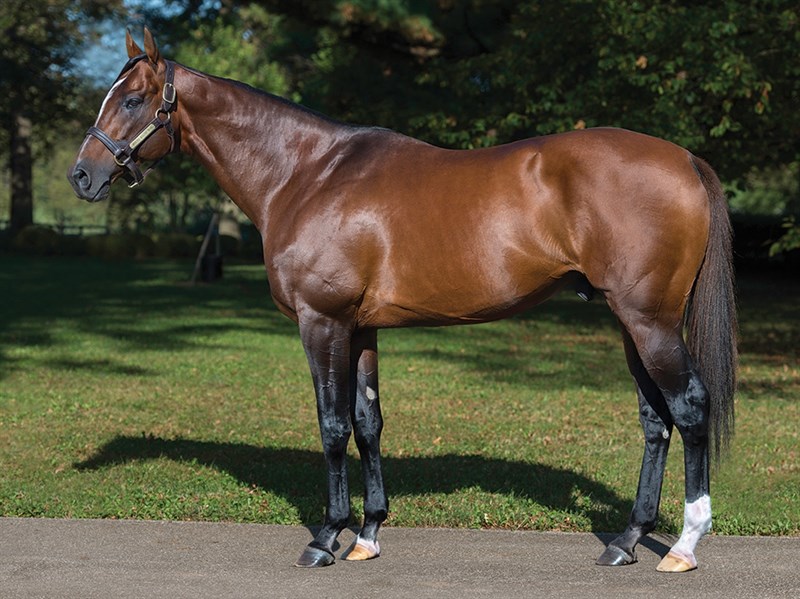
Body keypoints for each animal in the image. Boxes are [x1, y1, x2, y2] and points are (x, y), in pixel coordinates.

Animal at [68, 28, 736, 573]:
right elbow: (368, 424)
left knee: (690, 407)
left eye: (132, 100)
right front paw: (367, 535)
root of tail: (684, 159)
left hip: (649, 322)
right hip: (629, 323)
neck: (306, 174)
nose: (81, 176)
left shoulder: (322, 324)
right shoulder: (361, 330)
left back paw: (682, 546)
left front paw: (326, 538)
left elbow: (333, 425)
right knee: (655, 421)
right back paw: (626, 540)